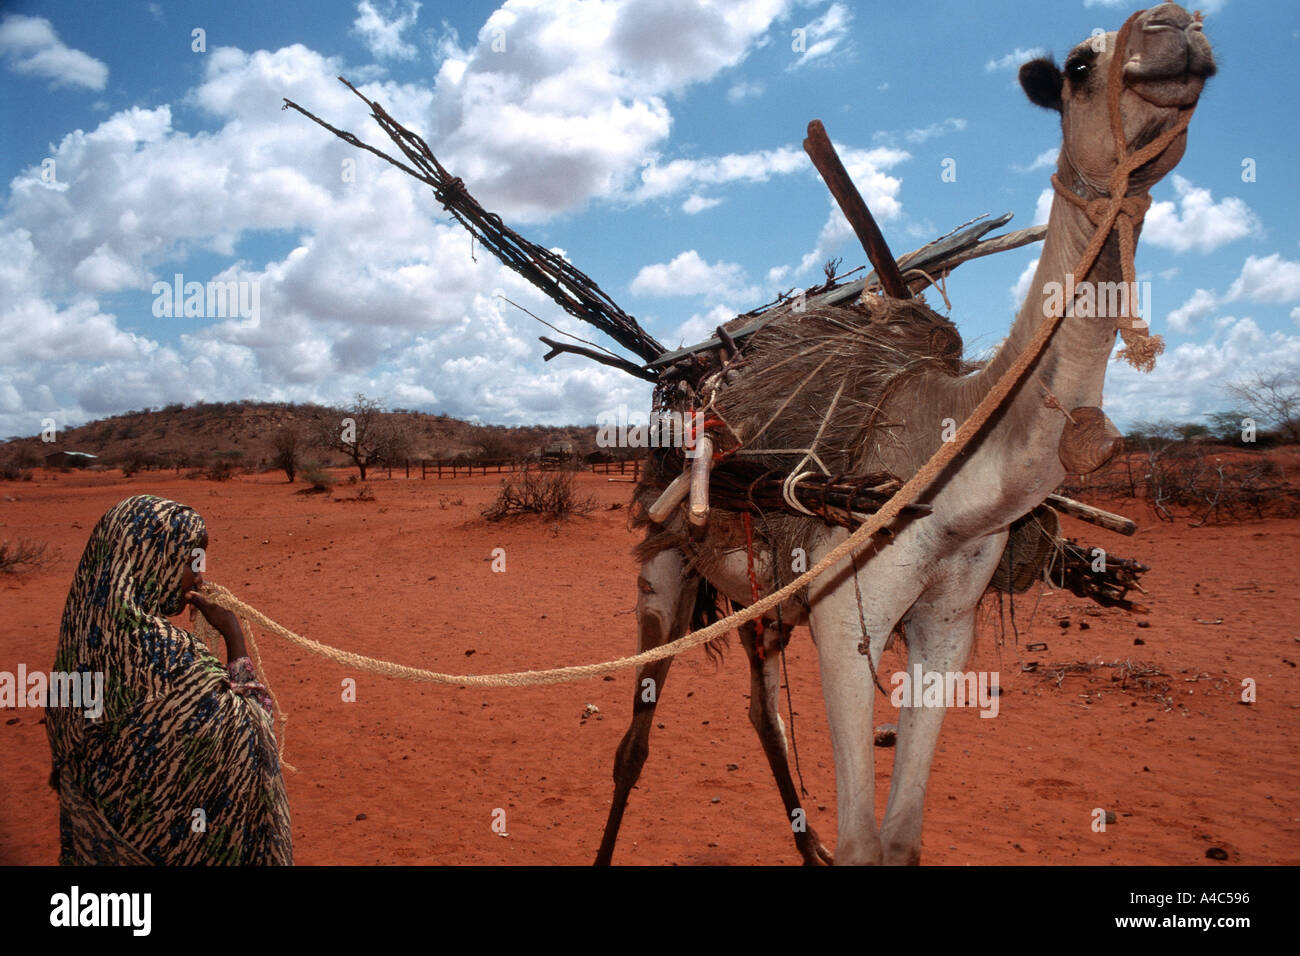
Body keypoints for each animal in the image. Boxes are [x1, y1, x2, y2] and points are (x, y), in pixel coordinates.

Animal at [596, 2, 1215, 865]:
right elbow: (864, 843)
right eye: (1078, 66)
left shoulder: (948, 628)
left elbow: (902, 838)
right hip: (664, 560)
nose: (1175, 31)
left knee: (761, 705)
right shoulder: (847, 620)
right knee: (635, 739)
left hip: (758, 595)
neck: (952, 478)